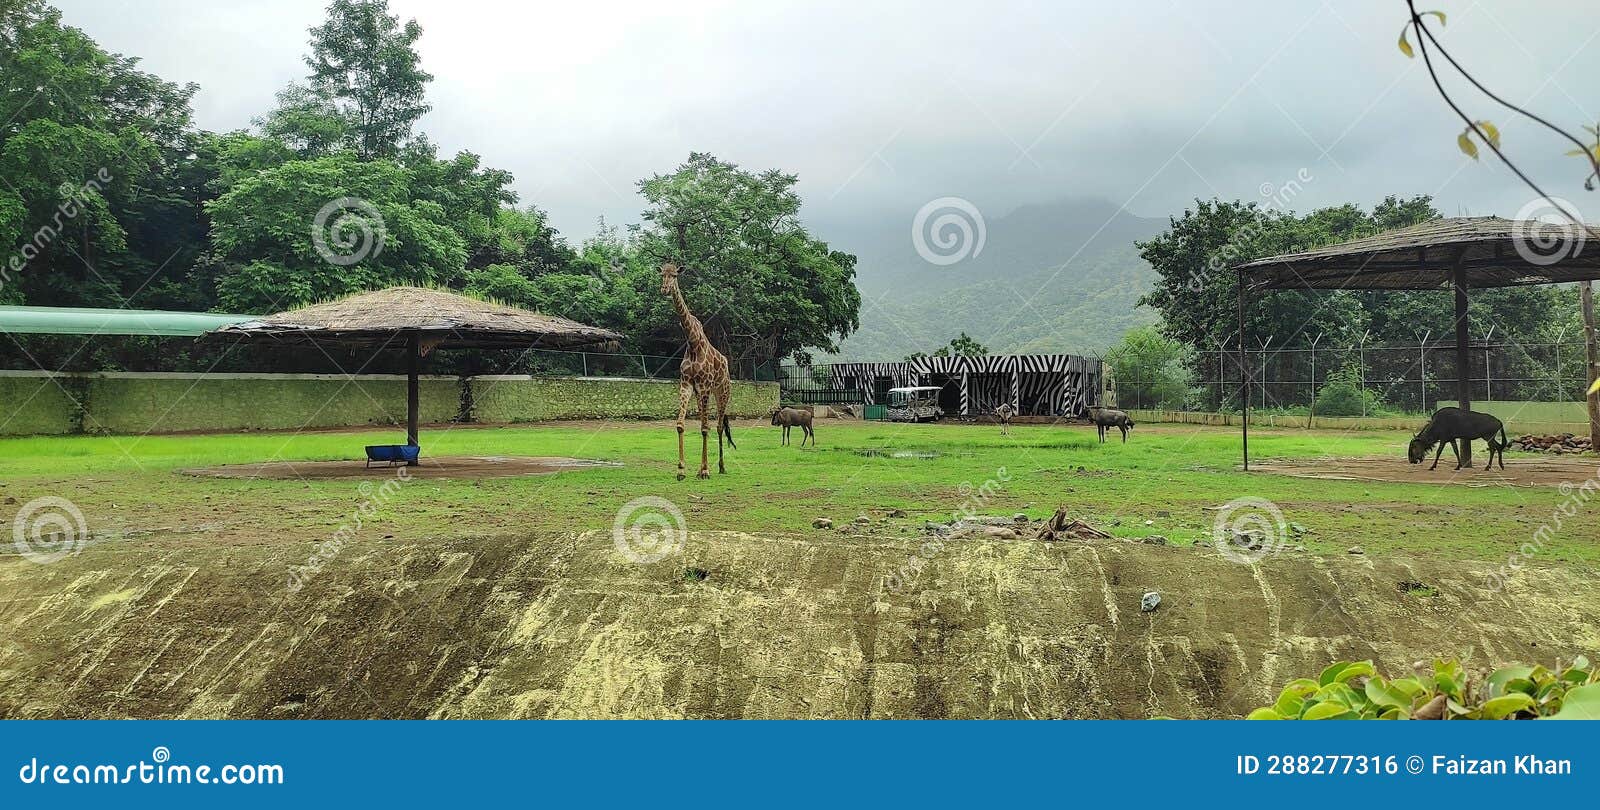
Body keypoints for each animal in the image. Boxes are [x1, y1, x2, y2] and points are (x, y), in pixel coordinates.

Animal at [661, 262, 736, 479]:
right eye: (662, 274)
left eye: (674, 275)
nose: (664, 289)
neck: (693, 342)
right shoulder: (686, 384)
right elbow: (680, 425)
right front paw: (681, 469)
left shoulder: (704, 386)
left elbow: (704, 428)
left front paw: (705, 470)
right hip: (701, 393)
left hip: (722, 392)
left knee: (718, 426)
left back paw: (720, 467)